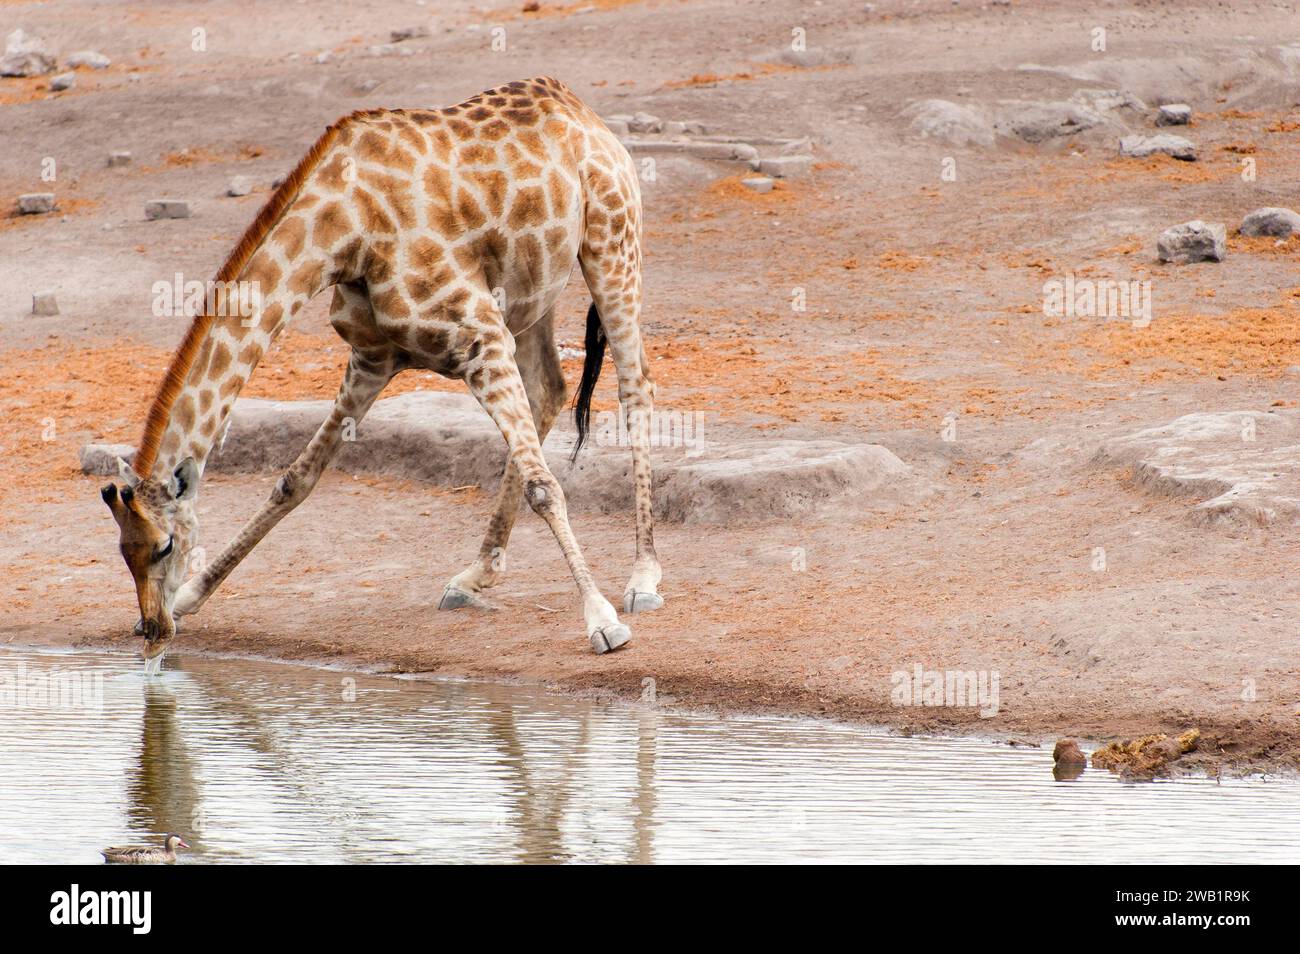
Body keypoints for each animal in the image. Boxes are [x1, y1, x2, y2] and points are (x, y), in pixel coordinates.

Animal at [100, 77, 663, 661]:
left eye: (164, 546)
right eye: (123, 551)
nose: (152, 628)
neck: (345, 233)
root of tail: (582, 110)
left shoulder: (479, 338)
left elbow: (544, 486)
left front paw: (601, 620)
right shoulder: (372, 358)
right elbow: (294, 480)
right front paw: (194, 595)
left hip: (612, 246)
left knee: (634, 387)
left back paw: (642, 578)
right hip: (530, 293)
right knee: (549, 388)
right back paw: (473, 576)